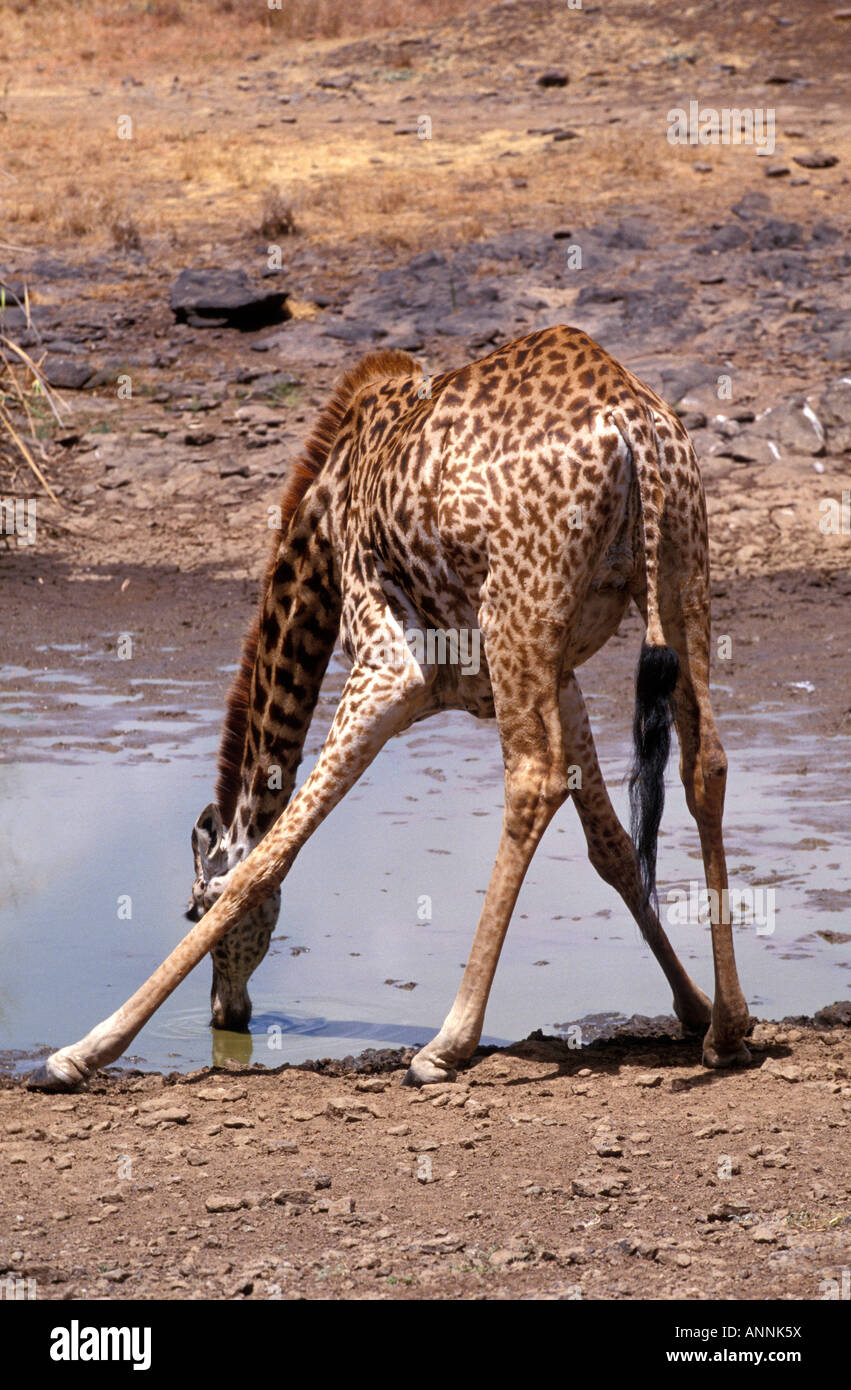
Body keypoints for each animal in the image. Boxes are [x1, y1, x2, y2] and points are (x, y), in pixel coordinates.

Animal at [28, 325, 751, 1093]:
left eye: (192, 907)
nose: (229, 1014)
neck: (323, 520)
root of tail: (630, 423)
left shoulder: (391, 665)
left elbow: (269, 855)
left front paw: (82, 1051)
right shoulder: (558, 677)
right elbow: (611, 846)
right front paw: (693, 1008)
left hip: (521, 605)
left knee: (532, 779)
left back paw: (446, 1043)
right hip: (677, 577)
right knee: (704, 763)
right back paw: (729, 1030)